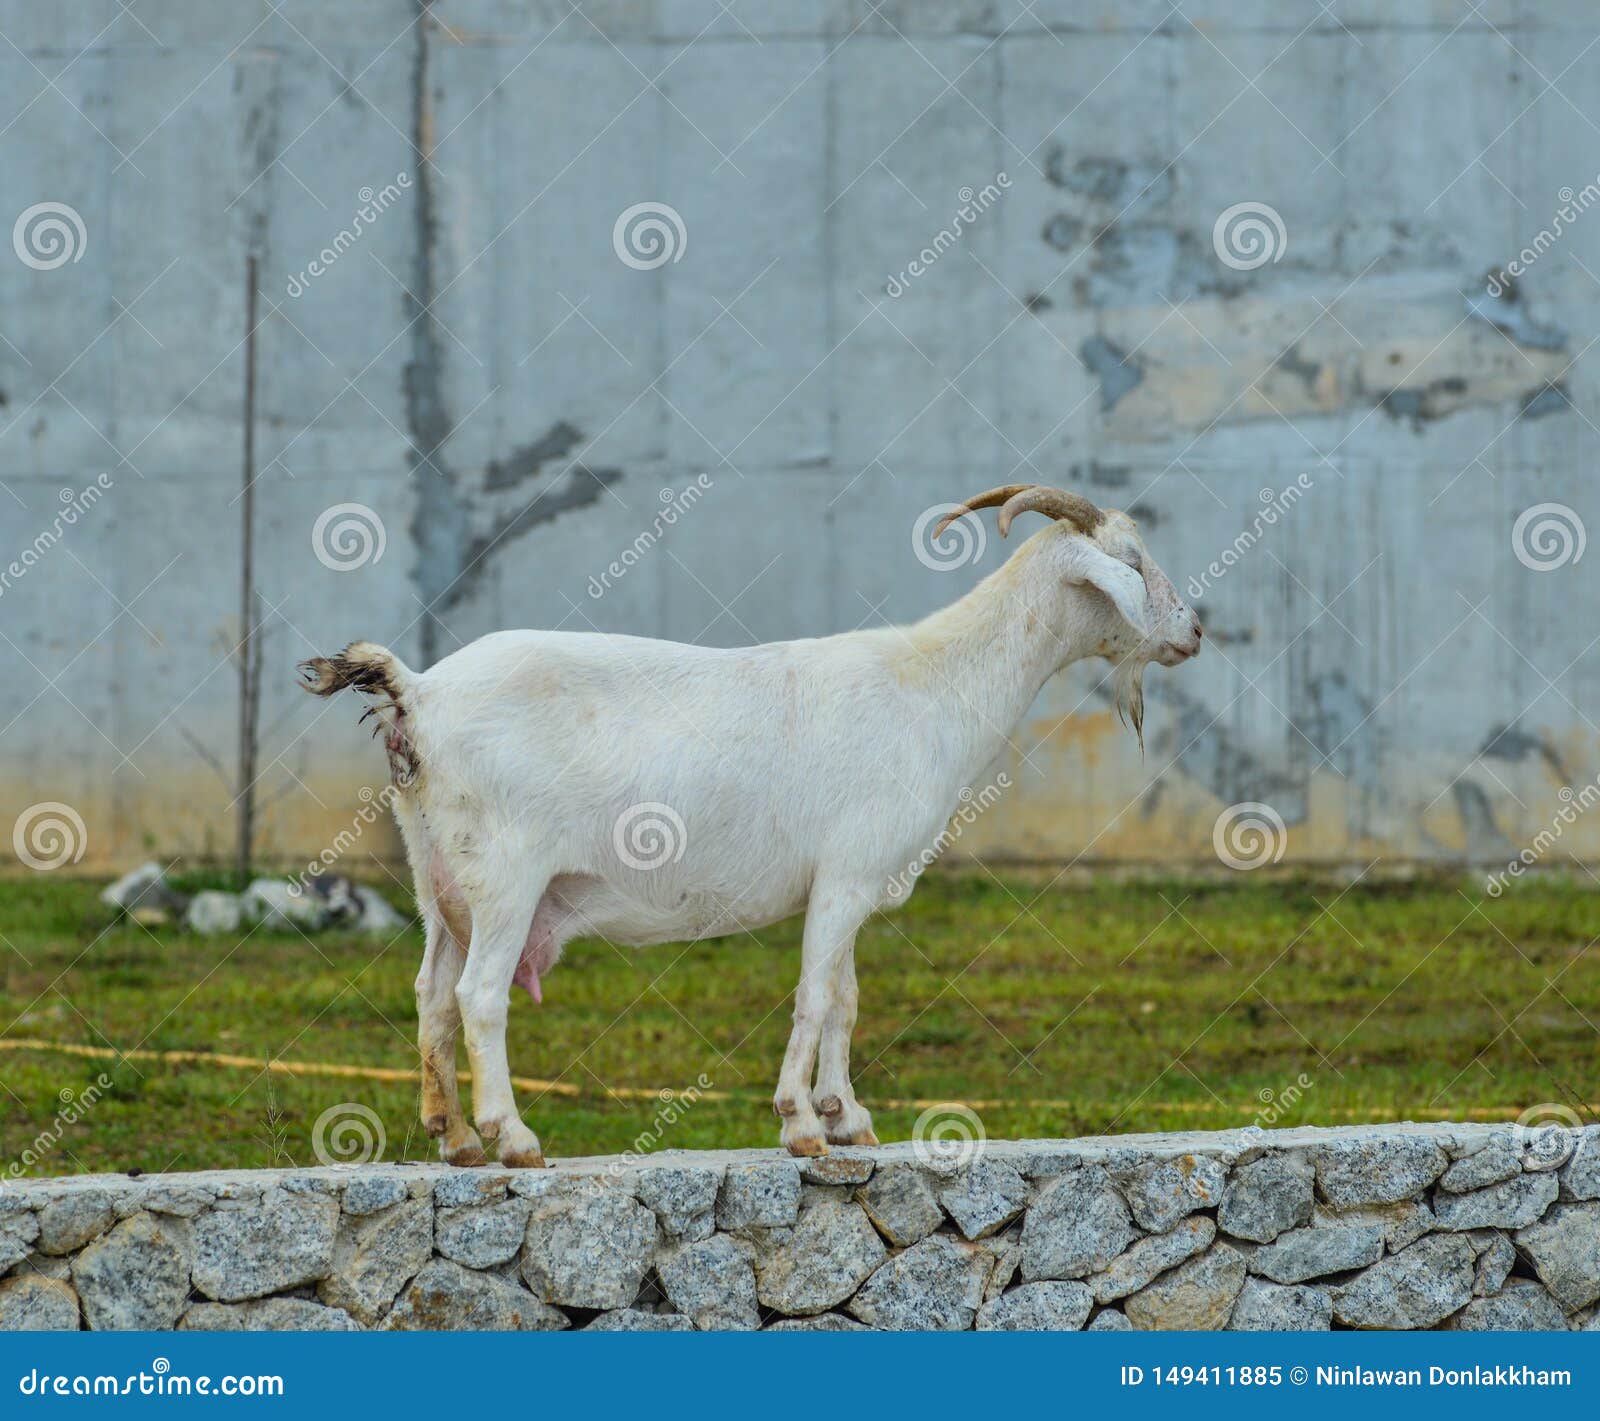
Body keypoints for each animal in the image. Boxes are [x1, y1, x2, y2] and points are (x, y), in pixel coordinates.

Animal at [299, 484, 1202, 1165]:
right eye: (1130, 564)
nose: (1193, 629)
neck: (931, 682)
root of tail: (418, 692)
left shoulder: (847, 882)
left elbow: (844, 996)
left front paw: (849, 1117)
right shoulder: (849, 871)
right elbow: (815, 994)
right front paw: (801, 1124)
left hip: (438, 875)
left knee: (432, 996)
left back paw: (452, 1137)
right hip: (506, 875)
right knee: (479, 995)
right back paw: (513, 1137)